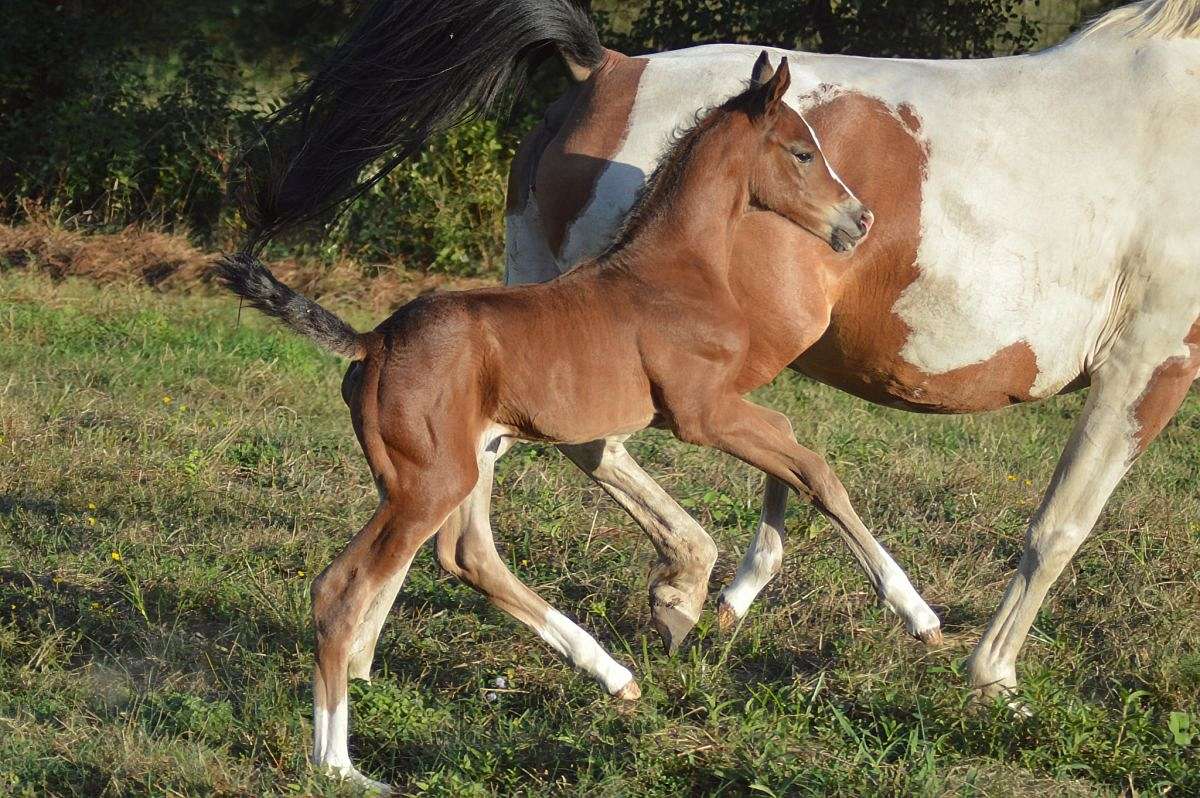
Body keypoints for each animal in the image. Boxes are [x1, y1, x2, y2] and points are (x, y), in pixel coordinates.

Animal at [219, 56, 881, 789]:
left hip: (460, 467)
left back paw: (613, 676)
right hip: (431, 482)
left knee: (466, 556)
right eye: (802, 151)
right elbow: (811, 463)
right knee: (341, 588)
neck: (676, 270)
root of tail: (374, 341)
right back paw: (340, 766)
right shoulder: (702, 414)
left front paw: (698, 601)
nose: (860, 219)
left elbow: (788, 450)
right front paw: (915, 615)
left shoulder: (716, 410)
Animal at [239, 0, 1200, 709]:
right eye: (802, 150)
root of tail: (606, 67)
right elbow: (1059, 525)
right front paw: (990, 673)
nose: (861, 221)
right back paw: (679, 590)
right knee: (573, 457)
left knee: (462, 498)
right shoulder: (1148, 359)